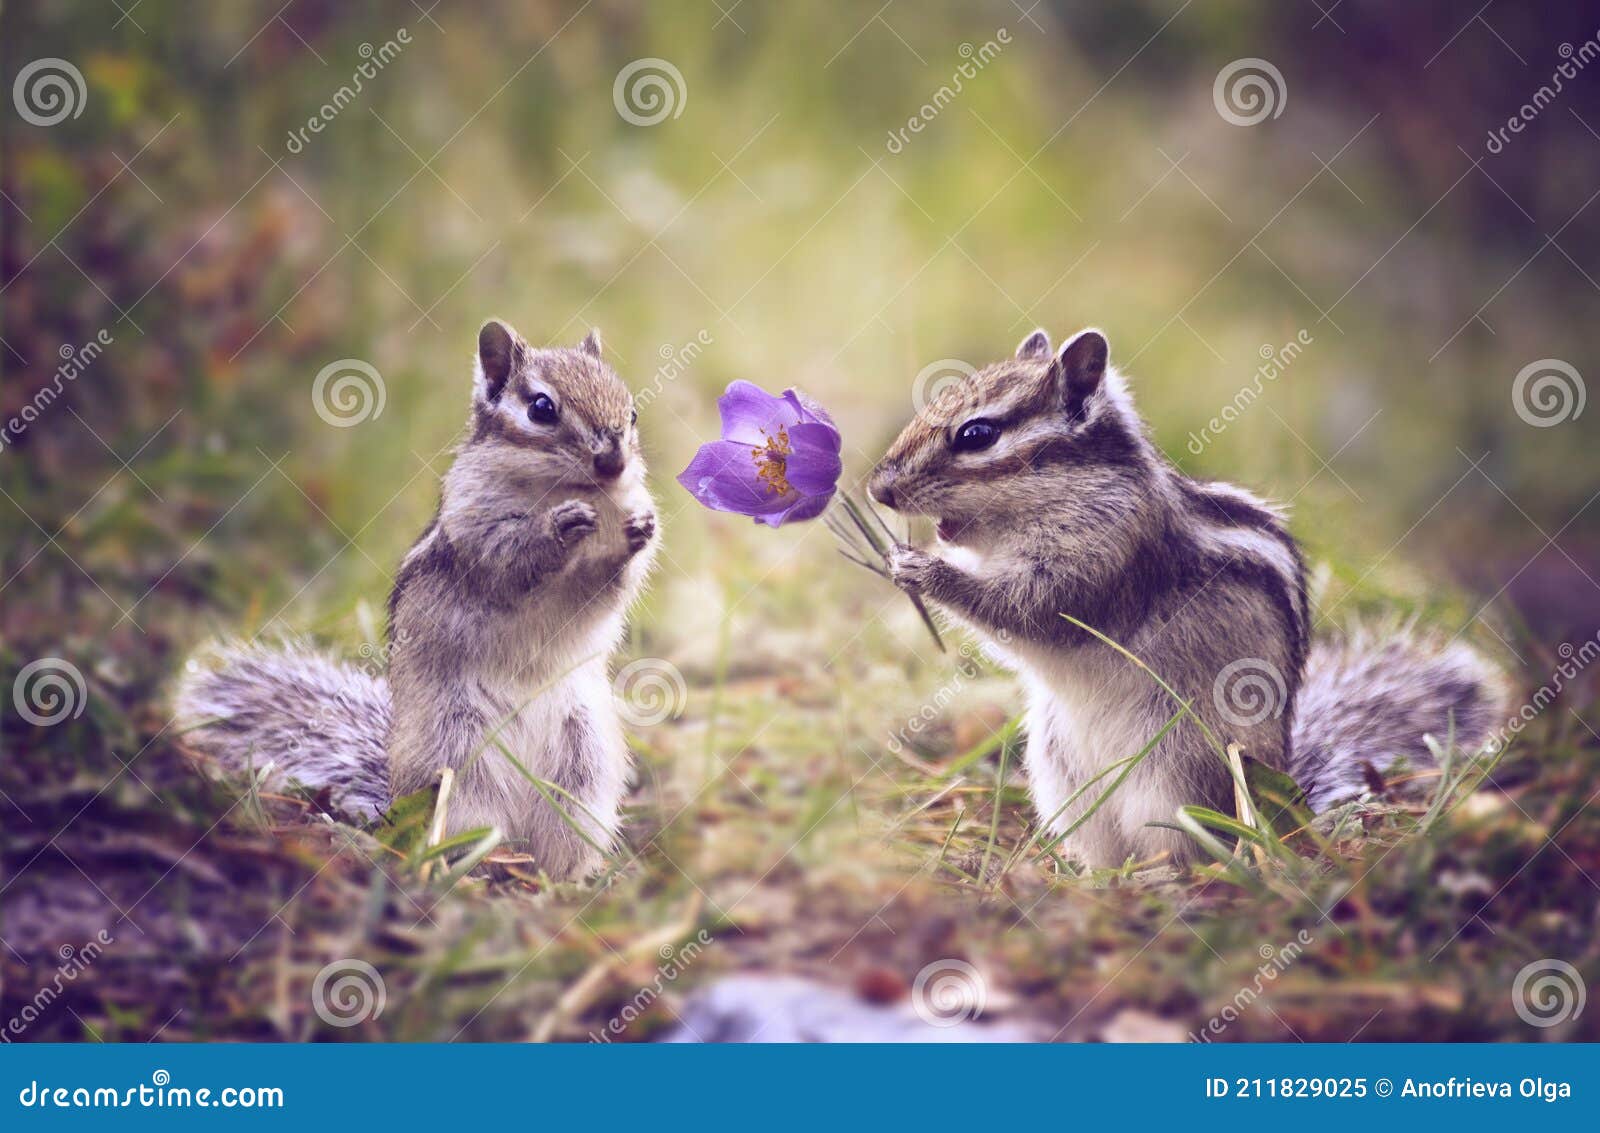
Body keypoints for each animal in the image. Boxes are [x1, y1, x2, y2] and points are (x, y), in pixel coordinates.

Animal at [176, 319, 658, 879]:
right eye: (542, 408)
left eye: (632, 413)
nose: (614, 462)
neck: (560, 490)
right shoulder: (473, 532)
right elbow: (508, 562)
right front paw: (558, 528)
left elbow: (604, 593)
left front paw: (637, 531)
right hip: (456, 760)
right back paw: (472, 865)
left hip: (585, 767)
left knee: (557, 845)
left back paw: (554, 878)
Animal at [870, 327, 1508, 868]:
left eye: (976, 434)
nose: (879, 489)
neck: (1071, 492)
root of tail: (1286, 806)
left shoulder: (1106, 557)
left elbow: (1031, 614)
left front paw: (924, 570)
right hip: (1058, 771)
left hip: (1175, 775)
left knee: (1191, 851)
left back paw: (1159, 877)